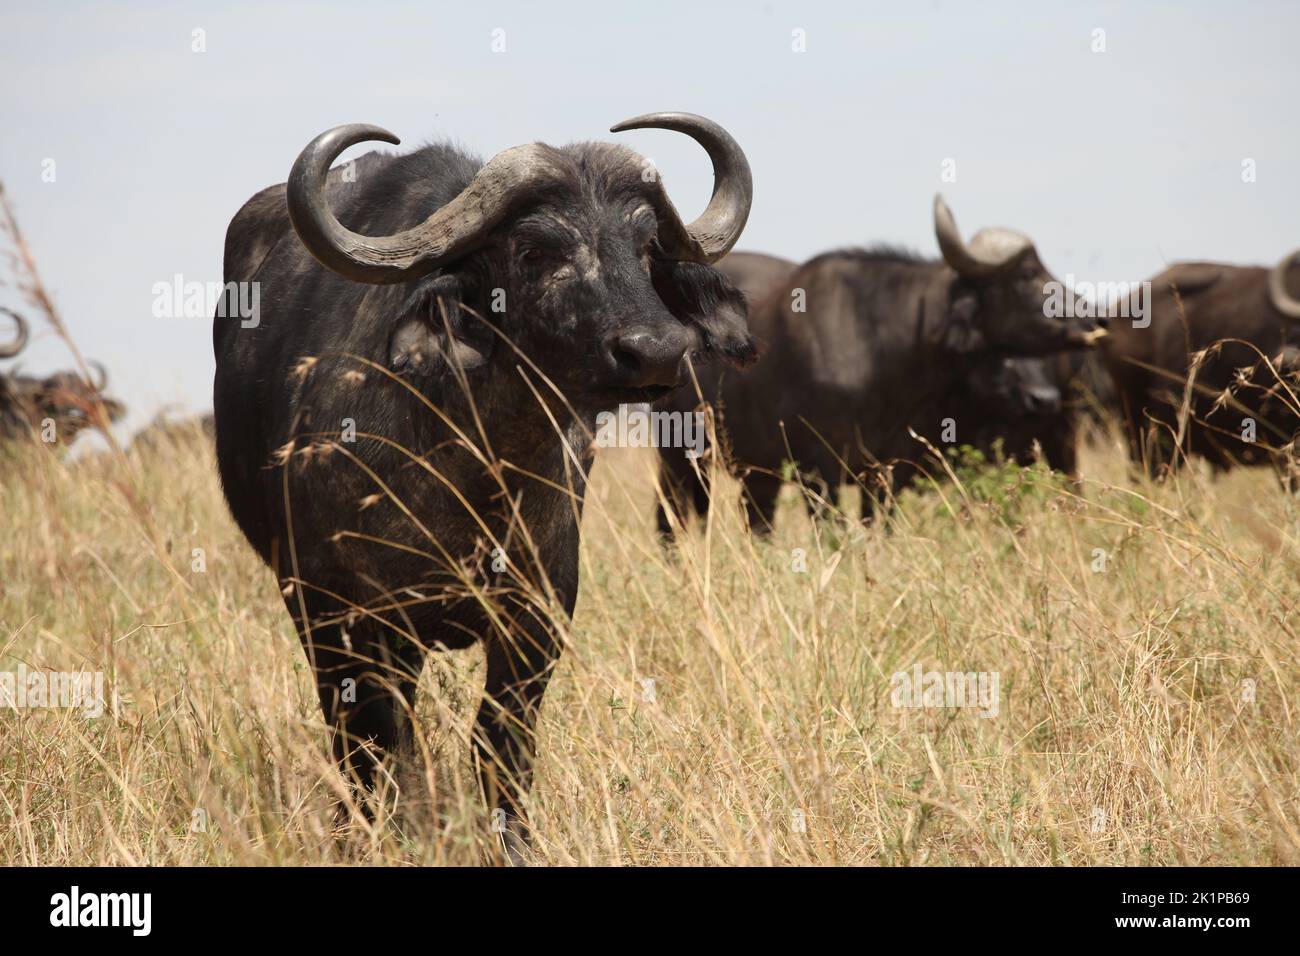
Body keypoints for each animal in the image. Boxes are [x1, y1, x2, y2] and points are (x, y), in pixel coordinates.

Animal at [212, 114, 755, 853]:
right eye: (534, 250)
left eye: (645, 247)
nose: (656, 351)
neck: (477, 476)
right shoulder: (352, 621)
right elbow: (380, 748)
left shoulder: (537, 619)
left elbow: (500, 744)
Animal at [655, 198, 1107, 536]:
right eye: (1027, 273)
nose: (1091, 318)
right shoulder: (817, 469)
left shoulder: (886, 471)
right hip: (680, 457)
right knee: (670, 519)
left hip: (756, 471)